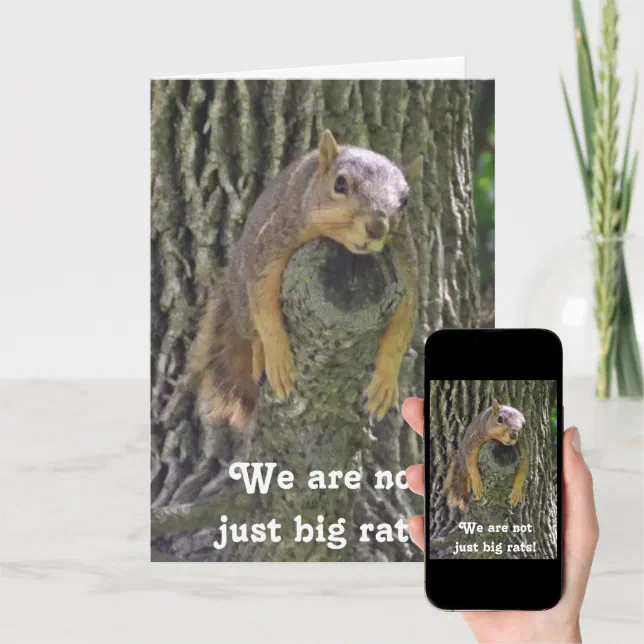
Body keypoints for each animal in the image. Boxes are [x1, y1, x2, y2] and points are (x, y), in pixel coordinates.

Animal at [189, 130, 422, 429]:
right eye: (340, 184)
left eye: (405, 201)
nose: (377, 227)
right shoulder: (275, 239)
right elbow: (264, 301)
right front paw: (277, 356)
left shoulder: (405, 264)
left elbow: (402, 327)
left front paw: (385, 383)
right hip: (241, 299)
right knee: (251, 329)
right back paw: (259, 354)